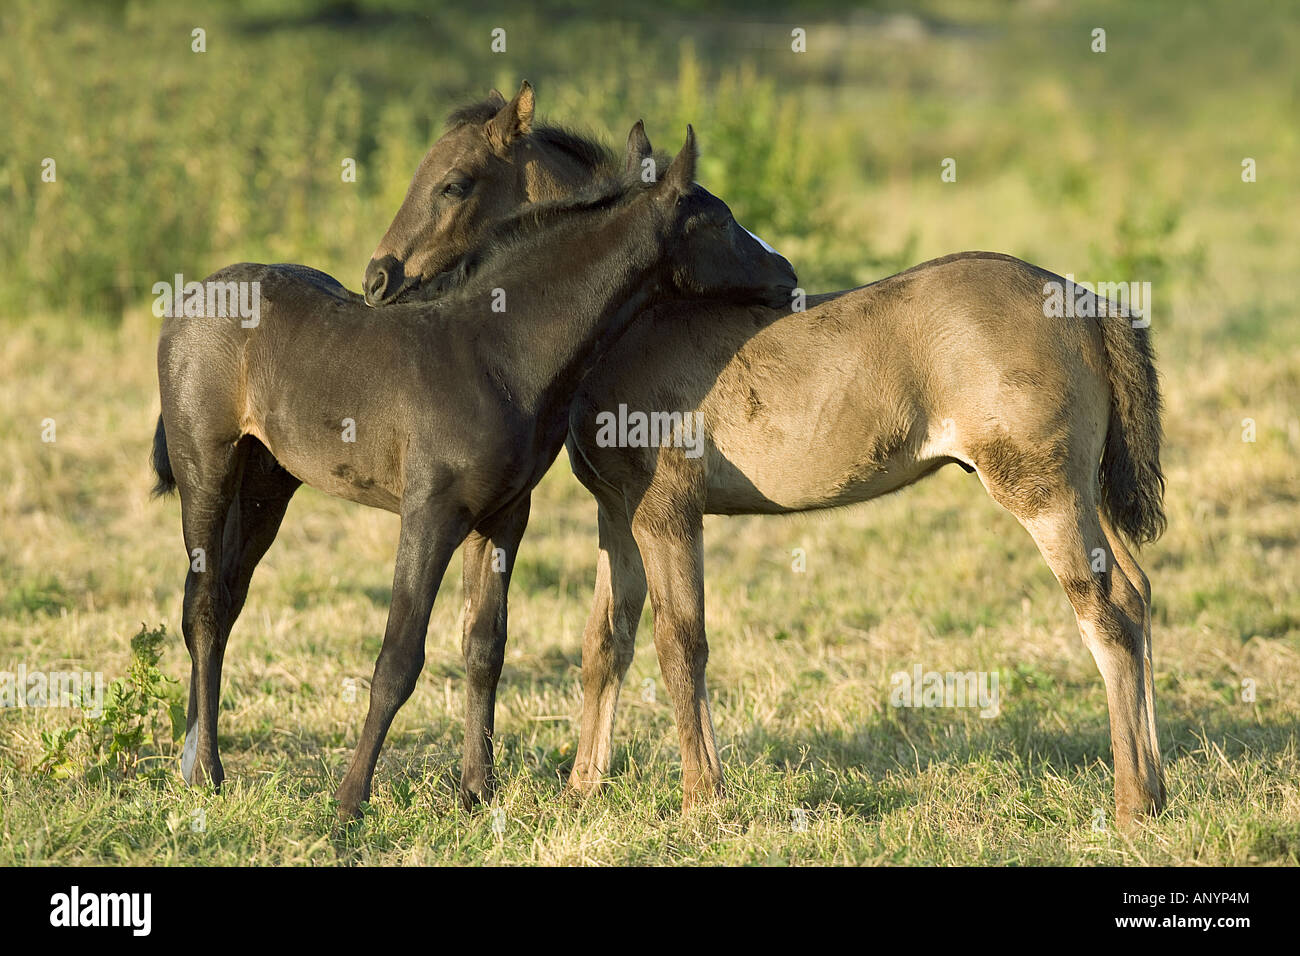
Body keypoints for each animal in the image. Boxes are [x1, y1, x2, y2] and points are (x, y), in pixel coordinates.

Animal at [150, 123, 798, 818]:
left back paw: (196, 760)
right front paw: (350, 803)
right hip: (207, 469)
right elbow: (399, 658)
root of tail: (193, 297)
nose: (788, 276)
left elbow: (484, 647)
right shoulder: (429, 515)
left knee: (224, 599)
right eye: (718, 220)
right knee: (205, 606)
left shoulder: (503, 518)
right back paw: (205, 771)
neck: (497, 351)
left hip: (269, 483)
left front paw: (477, 792)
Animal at [372, 88, 1167, 828]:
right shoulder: (616, 513)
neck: (635, 324)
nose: (380, 278)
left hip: (1040, 491)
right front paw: (580, 790)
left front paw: (702, 798)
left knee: (1104, 614)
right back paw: (1155, 787)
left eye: (454, 183)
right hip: (1079, 493)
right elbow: (606, 642)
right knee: (1135, 593)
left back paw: (1132, 801)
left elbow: (680, 643)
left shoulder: (666, 511)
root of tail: (1087, 303)